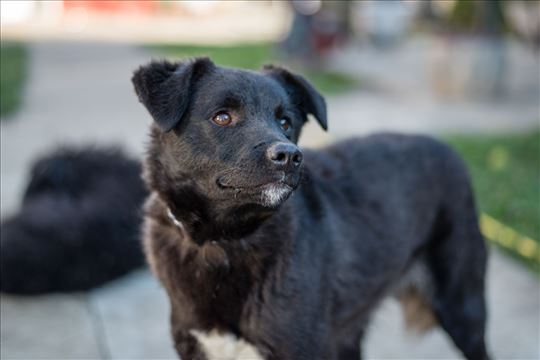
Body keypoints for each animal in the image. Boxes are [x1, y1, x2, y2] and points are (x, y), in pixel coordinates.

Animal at [133, 57, 492, 358]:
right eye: (222, 117)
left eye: (285, 121)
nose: (290, 156)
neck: (224, 242)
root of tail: (448, 148)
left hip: (463, 307)